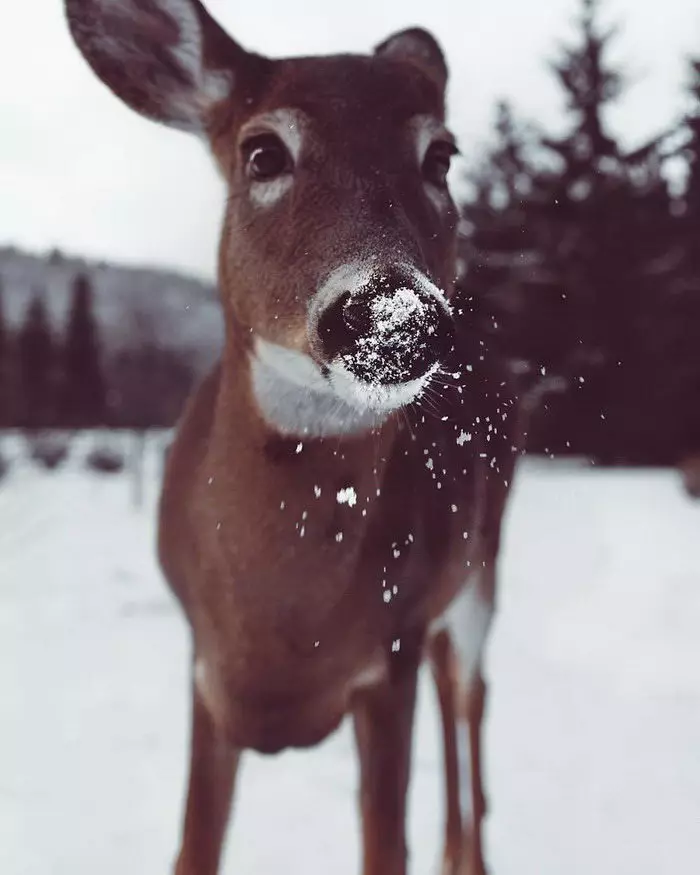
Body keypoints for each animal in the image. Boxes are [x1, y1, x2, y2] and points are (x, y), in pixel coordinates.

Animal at [64, 3, 536, 872]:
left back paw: (470, 850)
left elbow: (386, 843)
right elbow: (192, 847)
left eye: (440, 155)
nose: (392, 312)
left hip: (482, 559)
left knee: (470, 691)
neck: (278, 626)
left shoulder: (391, 645)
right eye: (262, 151)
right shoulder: (206, 665)